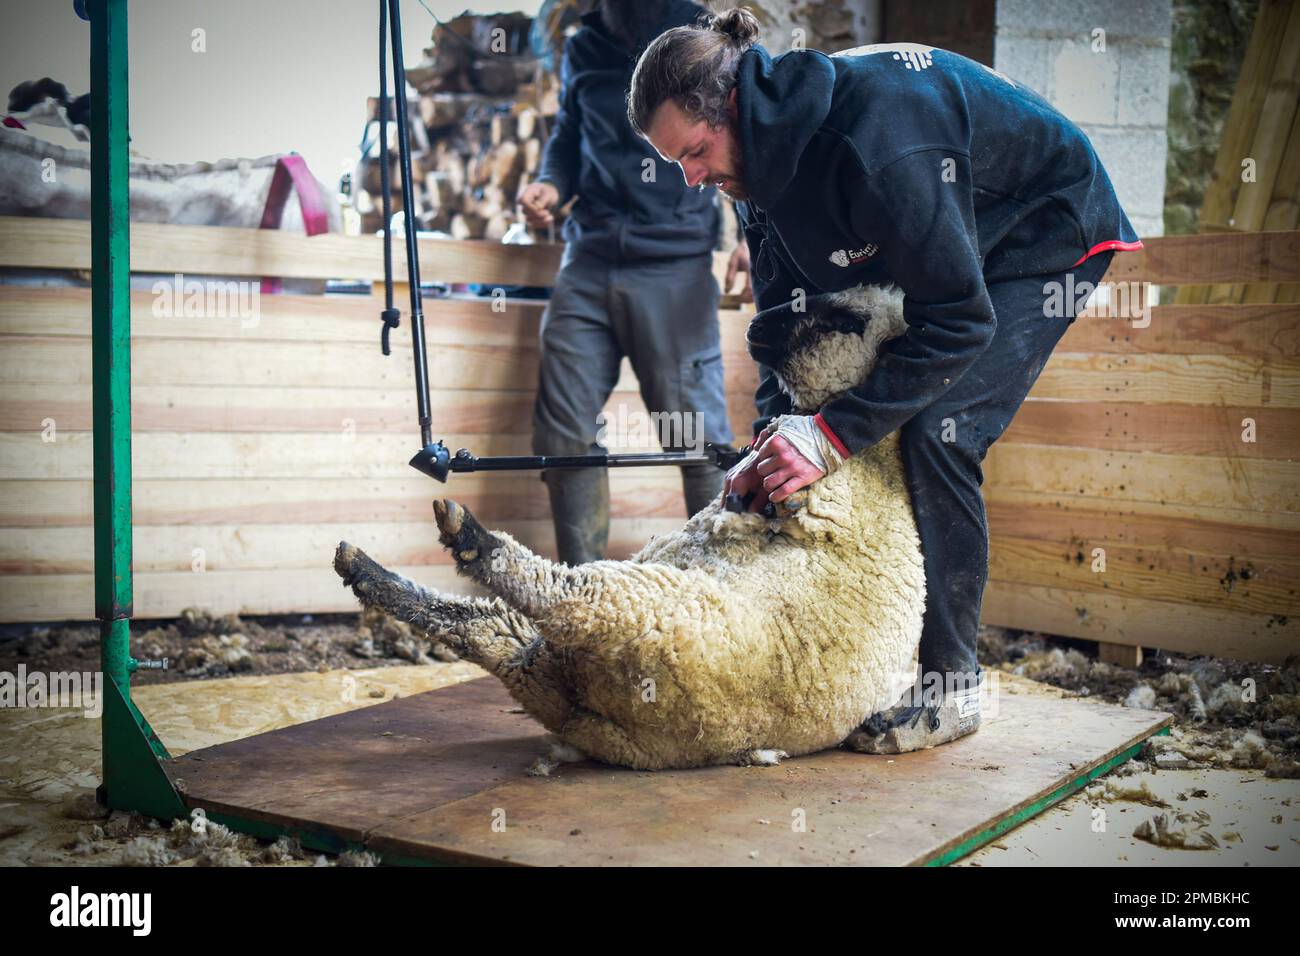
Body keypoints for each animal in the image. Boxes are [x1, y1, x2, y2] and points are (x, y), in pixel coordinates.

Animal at [334, 284, 925, 770]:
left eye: (846, 320)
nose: (756, 324)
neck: (882, 462)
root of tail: (579, 711)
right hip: (558, 649)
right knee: (480, 626)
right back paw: (366, 569)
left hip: (649, 614)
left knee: (561, 596)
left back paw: (465, 539)